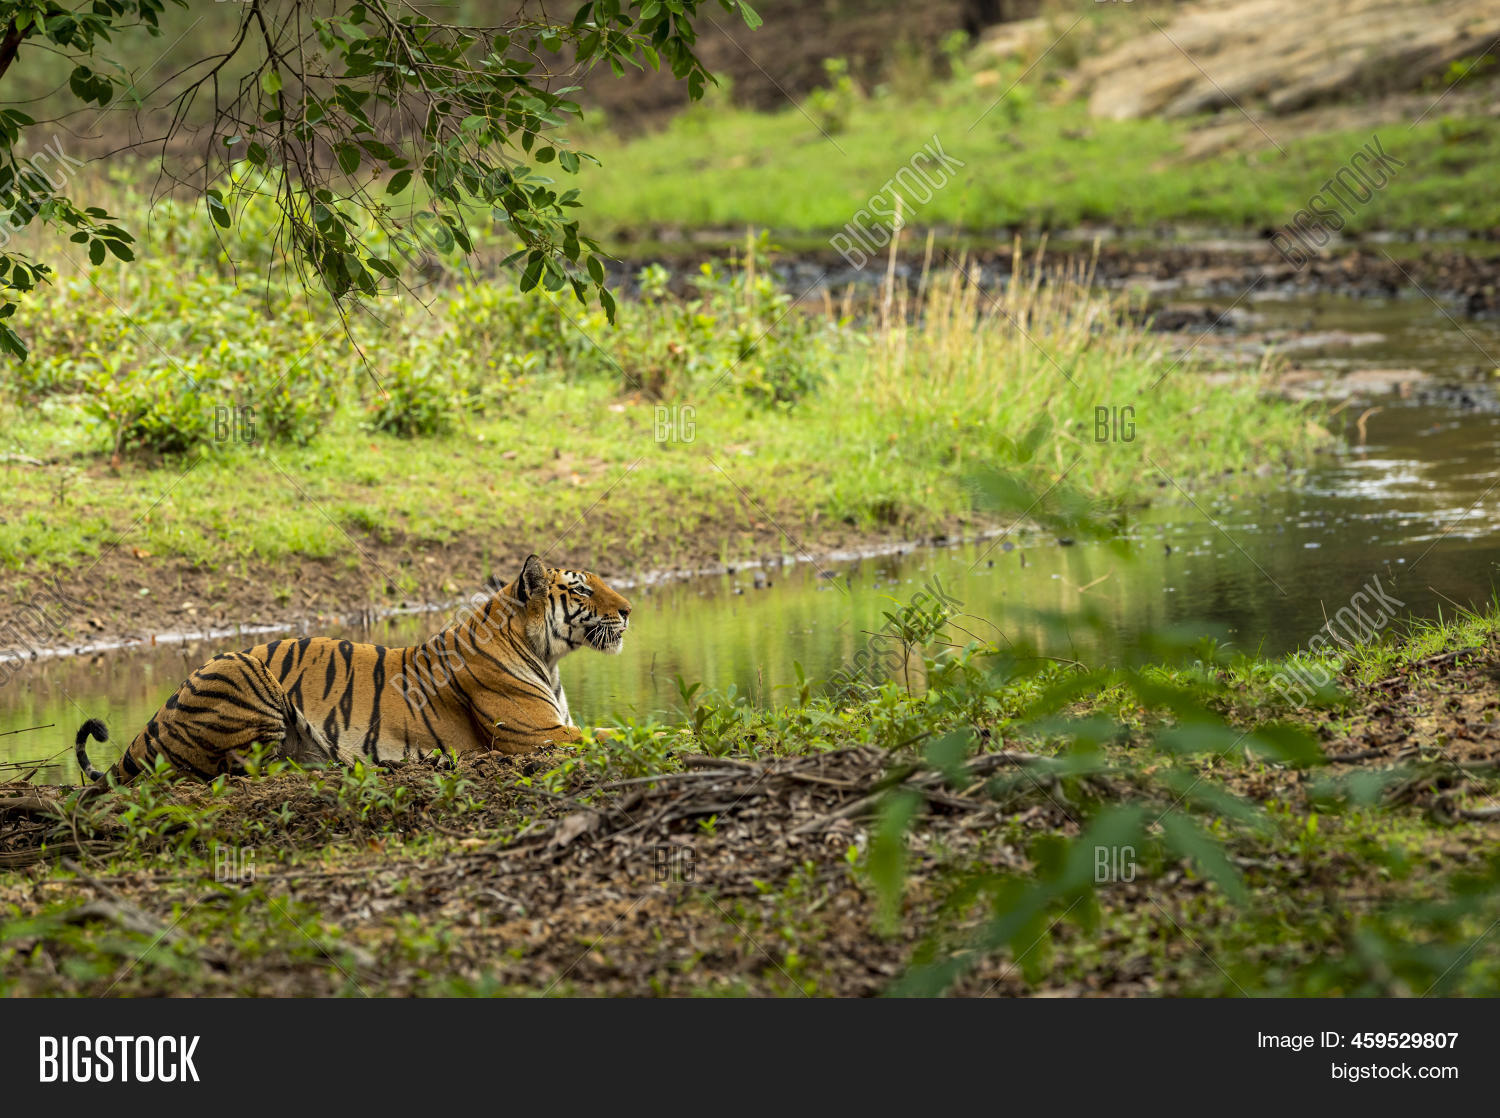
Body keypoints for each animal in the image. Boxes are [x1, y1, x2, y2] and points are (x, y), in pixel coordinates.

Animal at [74, 555, 632, 792]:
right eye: (582, 589)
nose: (629, 610)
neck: (545, 654)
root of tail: (160, 711)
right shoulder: (536, 735)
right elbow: (612, 733)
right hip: (245, 672)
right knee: (239, 767)